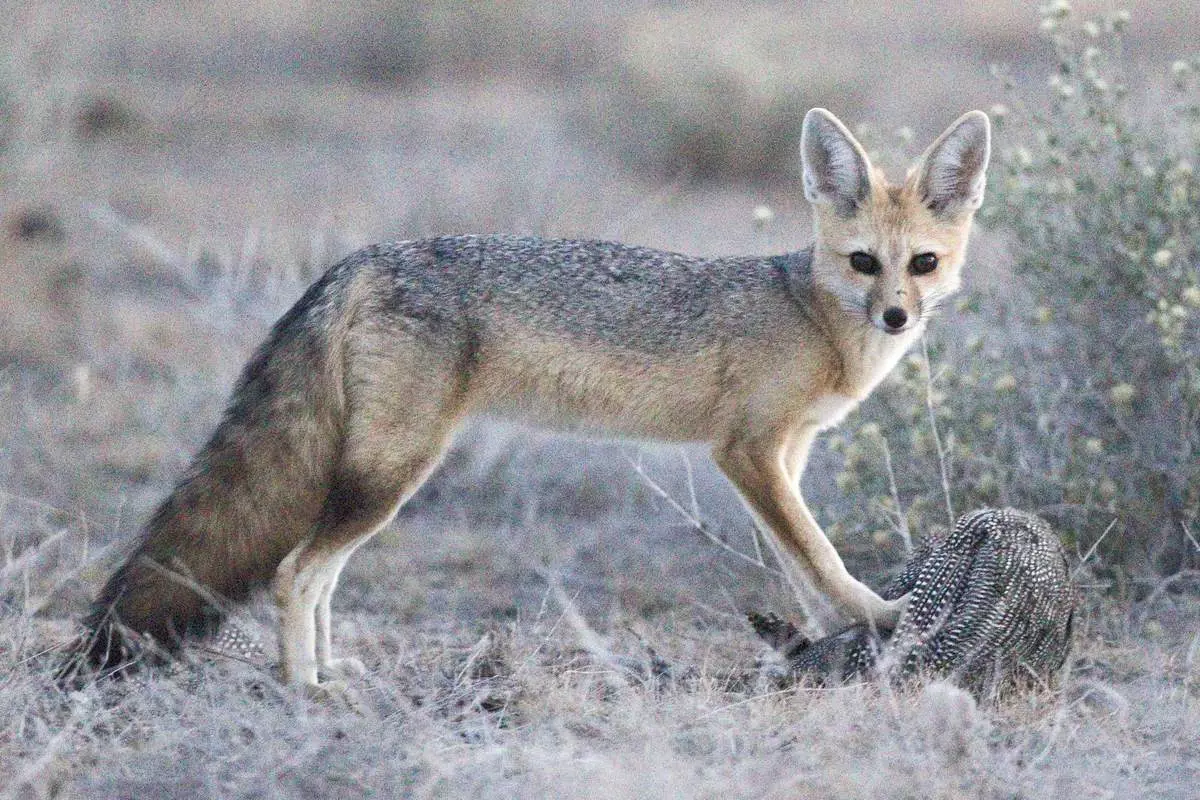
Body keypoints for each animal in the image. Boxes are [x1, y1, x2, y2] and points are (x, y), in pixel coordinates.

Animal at [60, 109, 988, 690]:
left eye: (923, 263)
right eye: (865, 262)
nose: (899, 315)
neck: (813, 316)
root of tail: (360, 258)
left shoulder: (783, 457)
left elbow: (797, 563)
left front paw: (823, 636)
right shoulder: (748, 454)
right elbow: (822, 555)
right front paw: (878, 615)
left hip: (376, 478)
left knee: (317, 576)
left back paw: (325, 670)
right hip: (393, 474)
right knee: (296, 572)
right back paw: (303, 690)